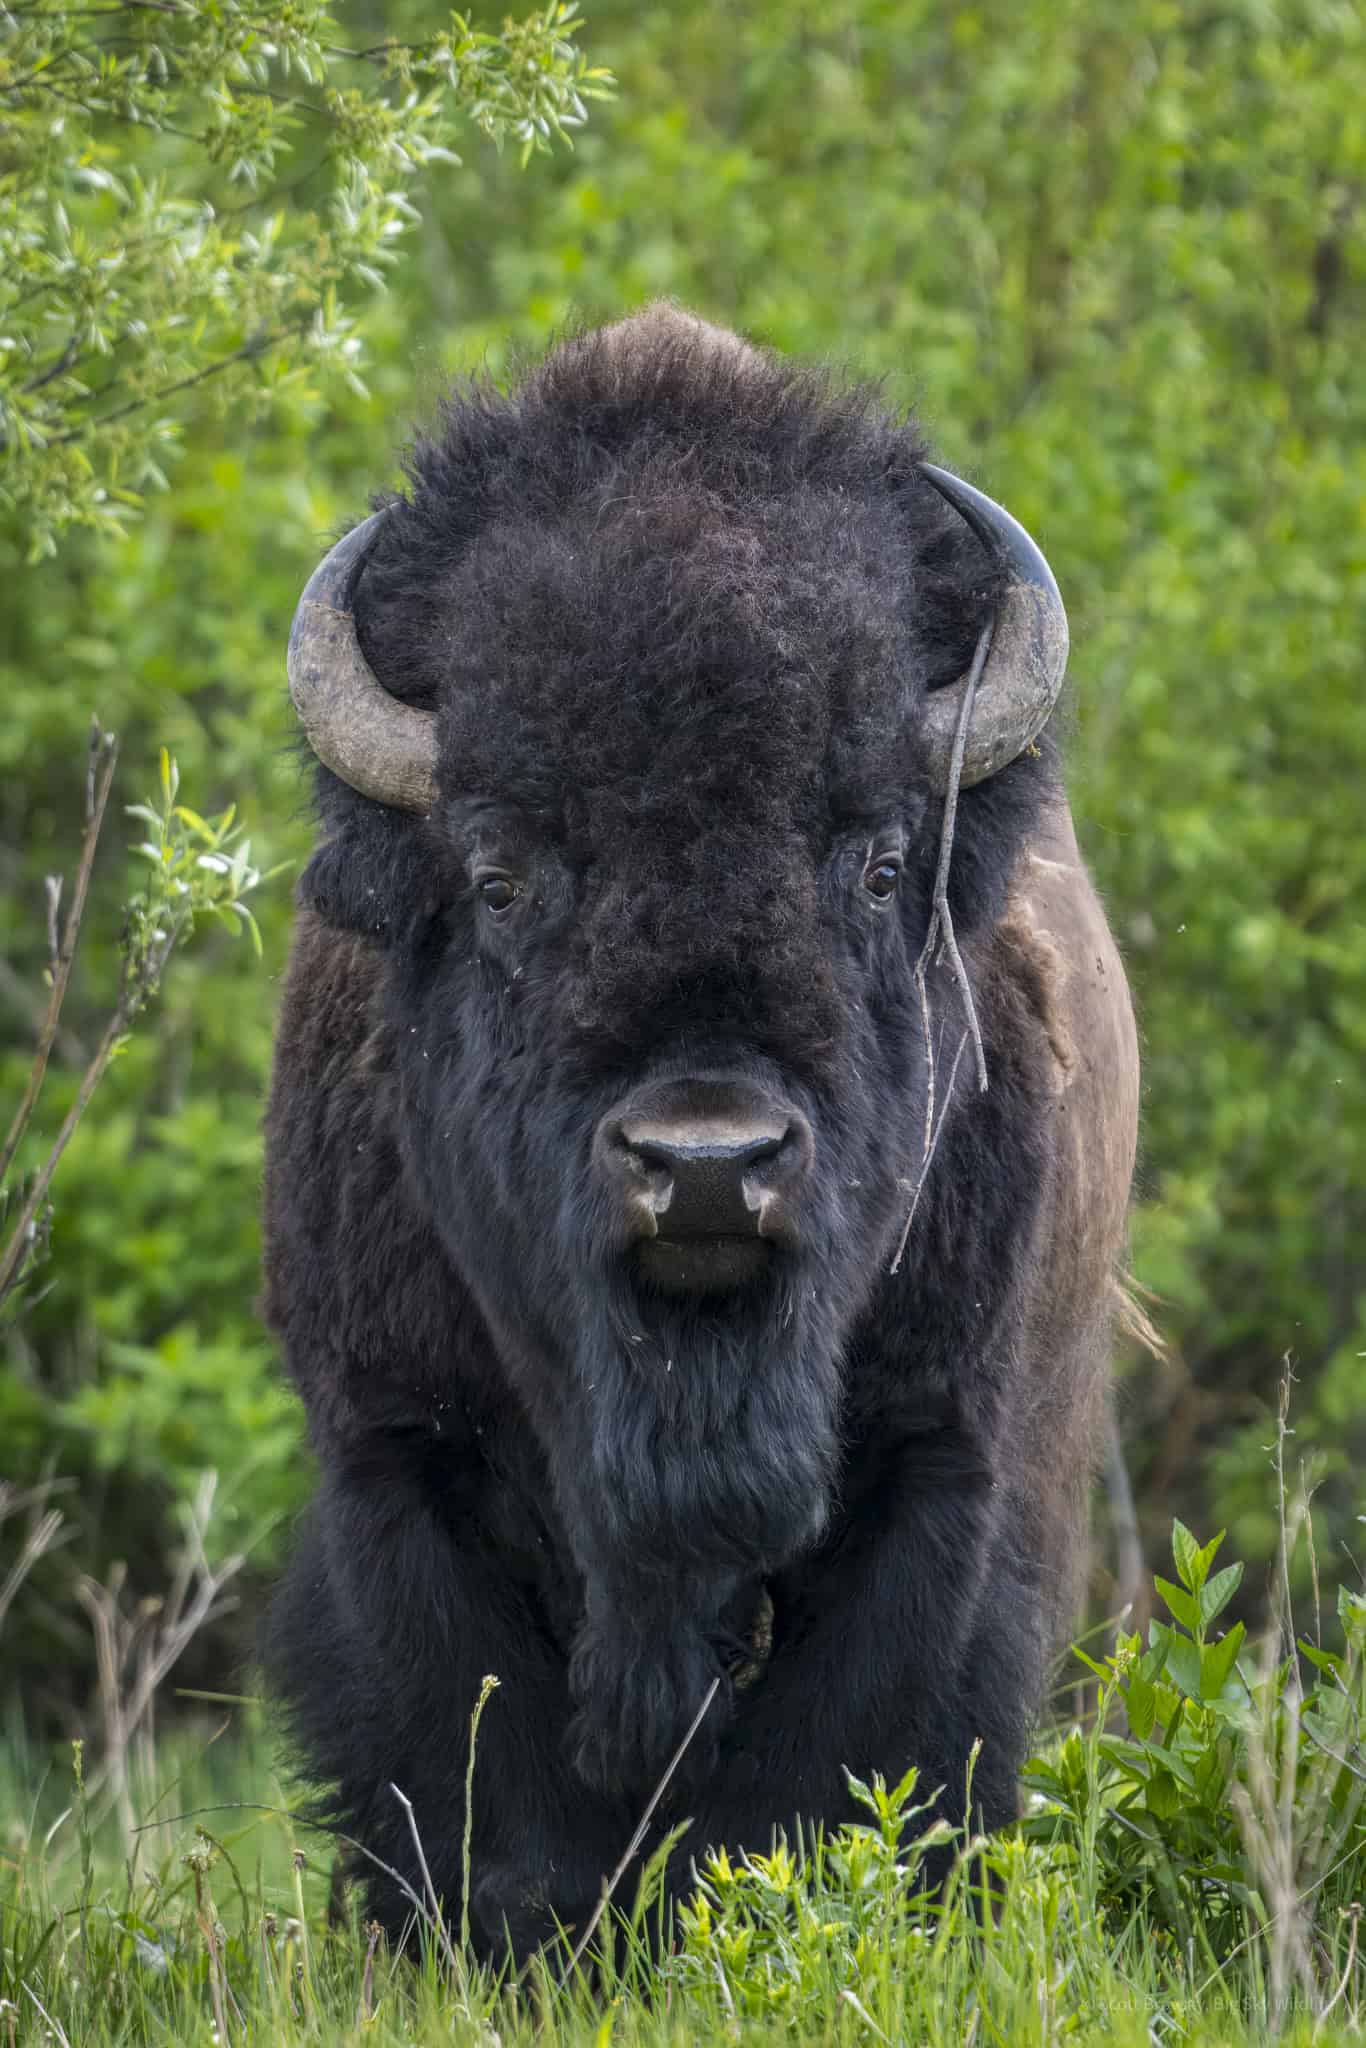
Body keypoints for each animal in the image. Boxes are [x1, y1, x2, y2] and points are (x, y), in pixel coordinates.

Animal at [262, 303, 1139, 1959]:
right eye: (499, 874)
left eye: (875, 863)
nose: (708, 1164)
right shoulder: (393, 1463)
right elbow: (496, 1809)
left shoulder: (938, 1477)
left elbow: (818, 1790)